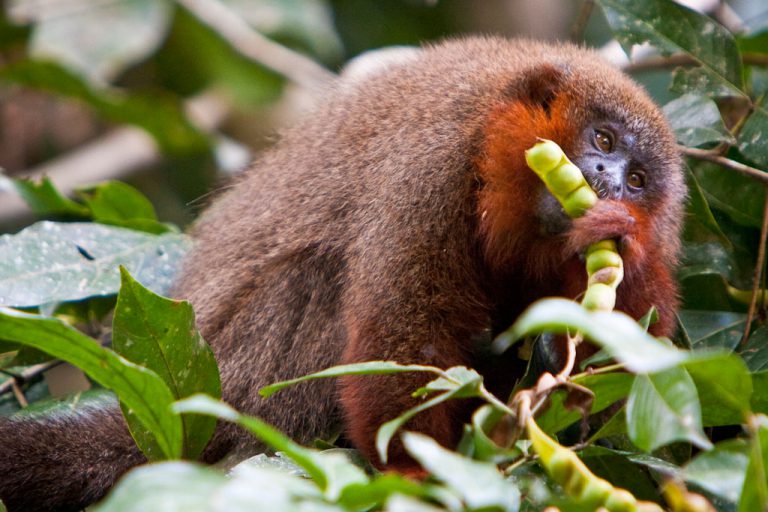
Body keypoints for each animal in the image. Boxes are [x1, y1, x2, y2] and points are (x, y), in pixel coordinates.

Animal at [0, 36, 685, 511]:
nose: (607, 181)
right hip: (249, 375)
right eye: (602, 139)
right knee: (317, 278)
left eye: (638, 180)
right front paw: (414, 476)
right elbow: (401, 329)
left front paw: (617, 242)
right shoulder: (434, 164)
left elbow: (621, 375)